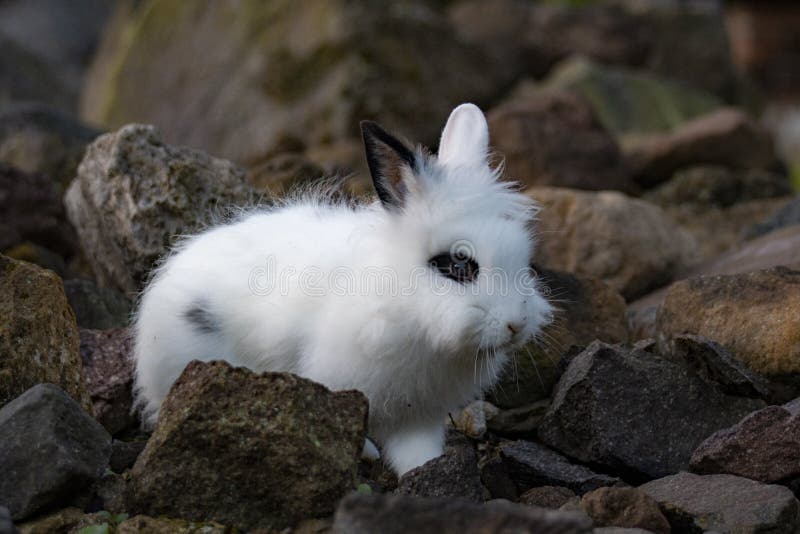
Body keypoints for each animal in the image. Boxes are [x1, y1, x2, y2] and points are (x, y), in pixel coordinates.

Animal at [132, 103, 553, 475]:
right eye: (458, 265)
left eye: (523, 257)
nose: (516, 325)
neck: (405, 308)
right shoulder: (336, 381)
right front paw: (366, 452)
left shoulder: (416, 416)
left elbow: (416, 452)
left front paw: (426, 471)